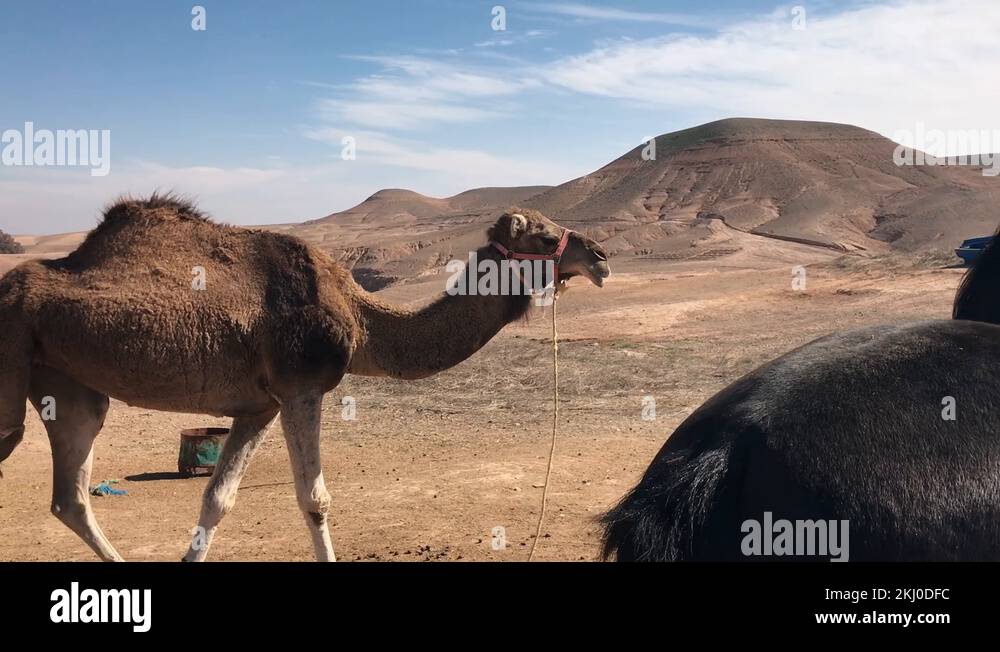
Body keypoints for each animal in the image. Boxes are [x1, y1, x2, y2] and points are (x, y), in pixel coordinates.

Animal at [0, 194, 610, 561]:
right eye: (543, 235)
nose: (601, 255)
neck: (362, 322)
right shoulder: (301, 387)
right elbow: (315, 498)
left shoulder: (258, 406)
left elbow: (217, 500)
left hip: (68, 386)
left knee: (71, 498)